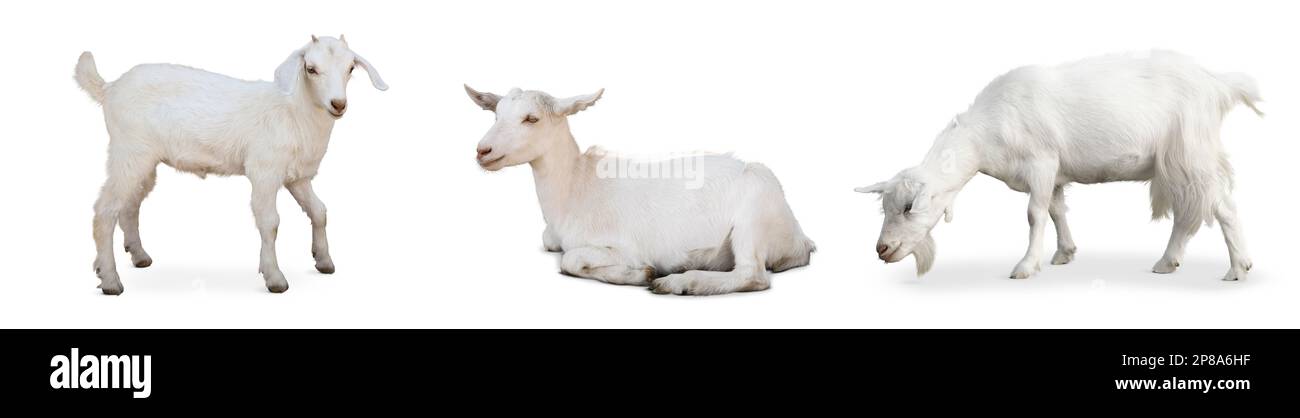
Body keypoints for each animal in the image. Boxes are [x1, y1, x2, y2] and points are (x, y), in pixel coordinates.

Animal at [76, 35, 388, 294]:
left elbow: (319, 211)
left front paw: (323, 260)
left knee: (129, 205)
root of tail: (109, 88)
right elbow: (270, 222)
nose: (338, 104)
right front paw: (274, 277)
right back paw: (110, 280)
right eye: (311, 68)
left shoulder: (297, 176)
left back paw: (137, 257)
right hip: (128, 152)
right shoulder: (264, 171)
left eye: (351, 68)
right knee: (105, 211)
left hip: (143, 159)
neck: (294, 113)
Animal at [465, 86, 815, 295]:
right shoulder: (551, 235)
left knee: (753, 274)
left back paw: (678, 281)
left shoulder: (624, 246)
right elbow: (553, 246)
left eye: (531, 119)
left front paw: (641, 274)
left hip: (754, 215)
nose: (483, 150)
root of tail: (799, 237)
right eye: (496, 115)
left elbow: (571, 260)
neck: (576, 187)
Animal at [855, 51, 1260, 281]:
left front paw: (1025, 266)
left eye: (909, 207)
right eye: (886, 207)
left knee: (1221, 207)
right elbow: (1056, 211)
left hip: (1190, 154)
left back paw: (1237, 268)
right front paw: (1065, 253)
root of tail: (1217, 83)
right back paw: (1168, 262)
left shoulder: (1041, 162)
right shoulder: (1054, 174)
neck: (987, 131)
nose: (882, 249)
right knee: (1188, 213)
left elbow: (1034, 215)